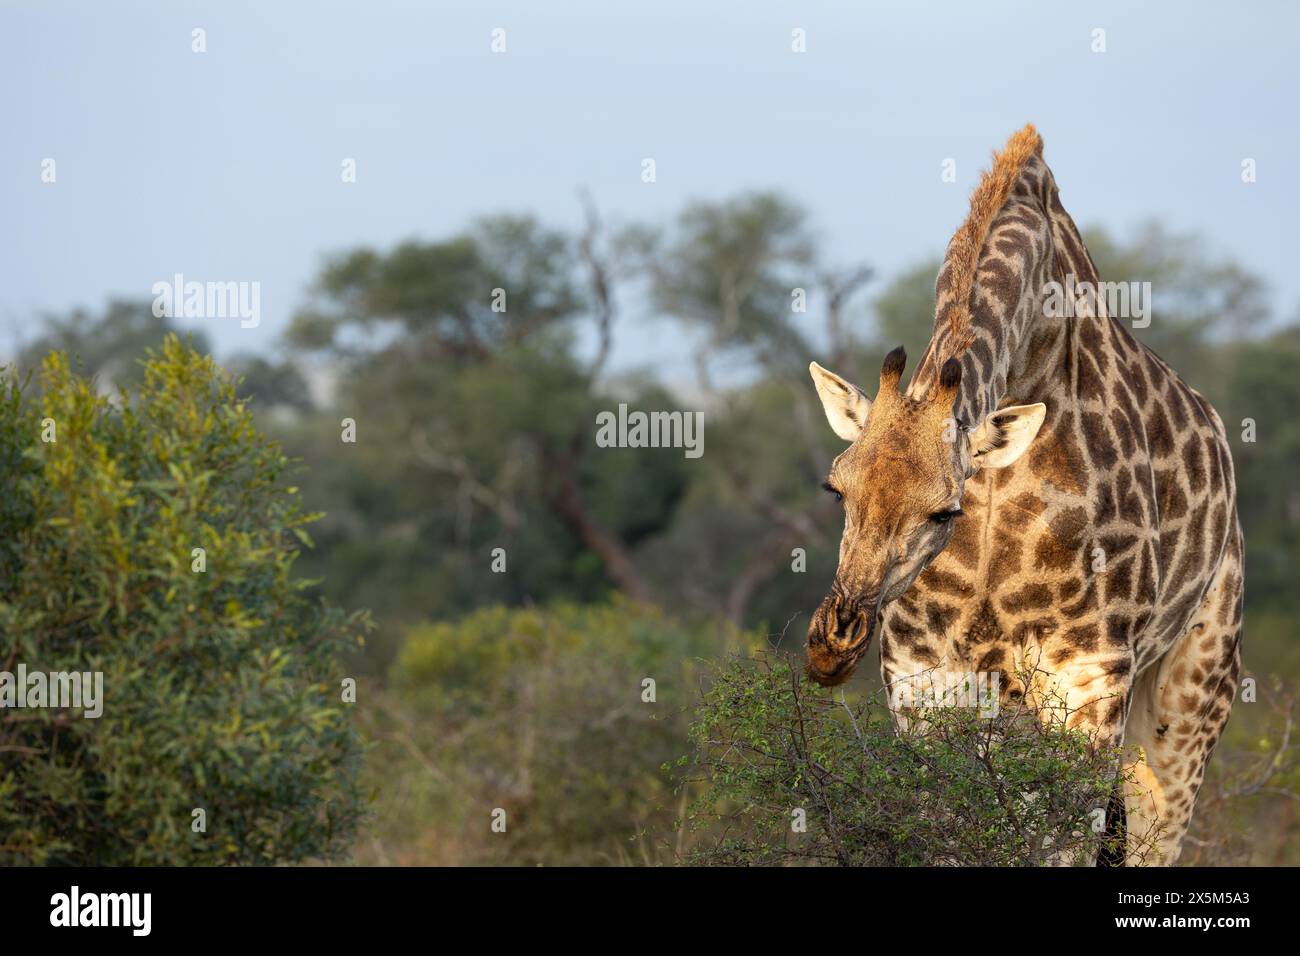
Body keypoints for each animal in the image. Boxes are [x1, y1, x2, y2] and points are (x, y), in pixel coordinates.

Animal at [803, 124, 1243, 866]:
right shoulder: (924, 678)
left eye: (944, 509)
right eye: (837, 488)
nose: (834, 644)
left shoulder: (1091, 677)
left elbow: (1063, 843)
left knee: (1156, 831)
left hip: (1193, 691)